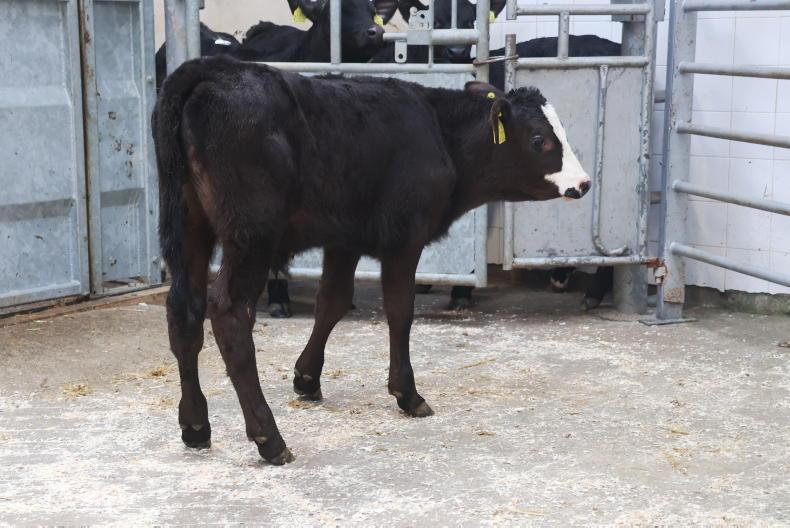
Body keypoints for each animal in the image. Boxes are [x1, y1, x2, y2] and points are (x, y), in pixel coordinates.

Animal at [153, 55, 590, 464]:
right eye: (540, 140)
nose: (584, 183)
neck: (439, 132)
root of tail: (213, 69)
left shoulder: (344, 239)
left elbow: (332, 303)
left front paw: (307, 378)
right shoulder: (404, 239)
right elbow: (399, 310)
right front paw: (407, 393)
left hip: (189, 227)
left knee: (183, 311)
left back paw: (195, 425)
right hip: (250, 237)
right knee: (229, 314)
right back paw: (269, 437)